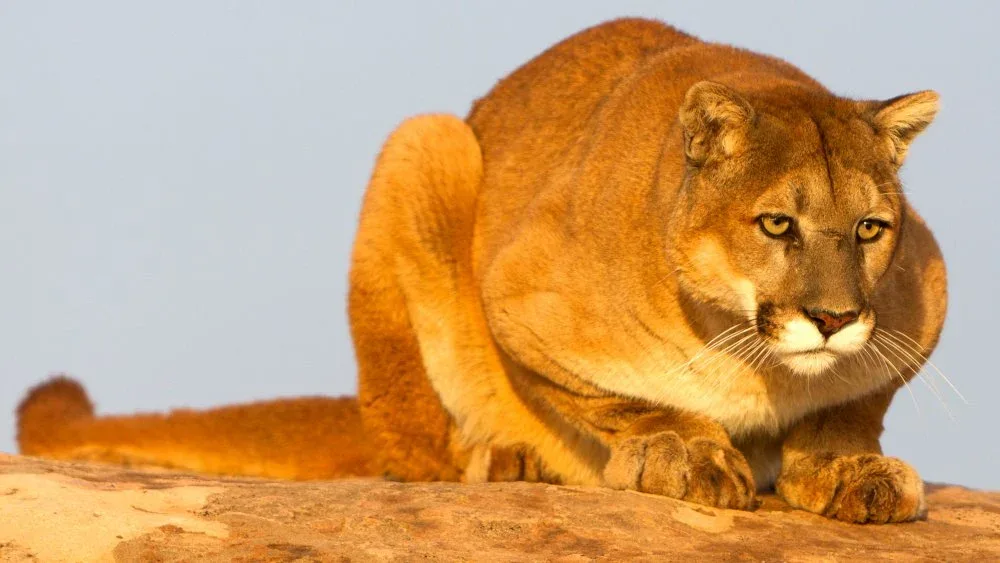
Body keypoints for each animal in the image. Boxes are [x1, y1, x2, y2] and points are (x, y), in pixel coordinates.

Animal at [18, 18, 946, 523]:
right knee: (409, 447)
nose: (834, 317)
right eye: (777, 223)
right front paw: (684, 447)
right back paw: (500, 458)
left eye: (870, 229)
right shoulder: (519, 298)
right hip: (423, 145)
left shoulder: (923, 295)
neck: (755, 364)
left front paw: (849, 467)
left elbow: (851, 403)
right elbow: (621, 398)